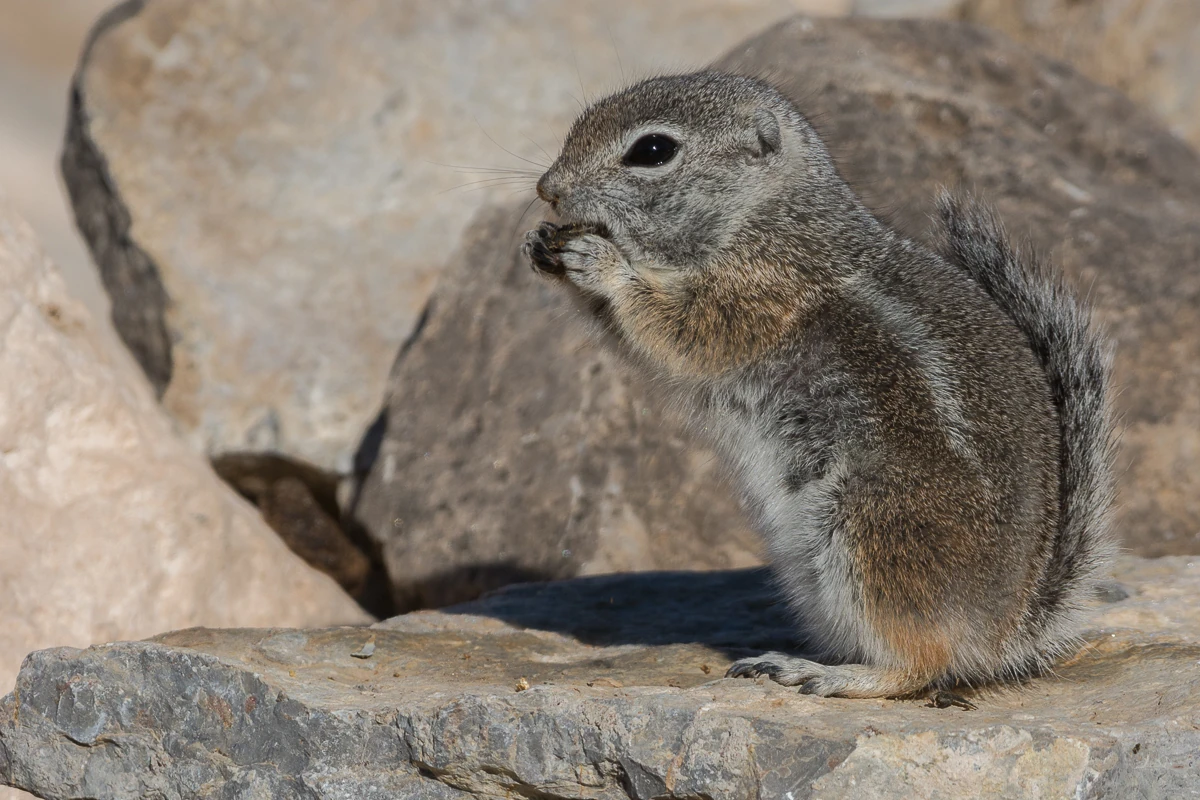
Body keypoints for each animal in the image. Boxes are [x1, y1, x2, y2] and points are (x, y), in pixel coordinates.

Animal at [521, 71, 1116, 704]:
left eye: (653, 150)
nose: (547, 189)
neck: (766, 217)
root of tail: (1007, 630)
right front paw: (541, 245)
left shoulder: (756, 296)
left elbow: (677, 332)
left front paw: (599, 260)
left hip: (873, 525)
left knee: (922, 660)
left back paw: (824, 673)